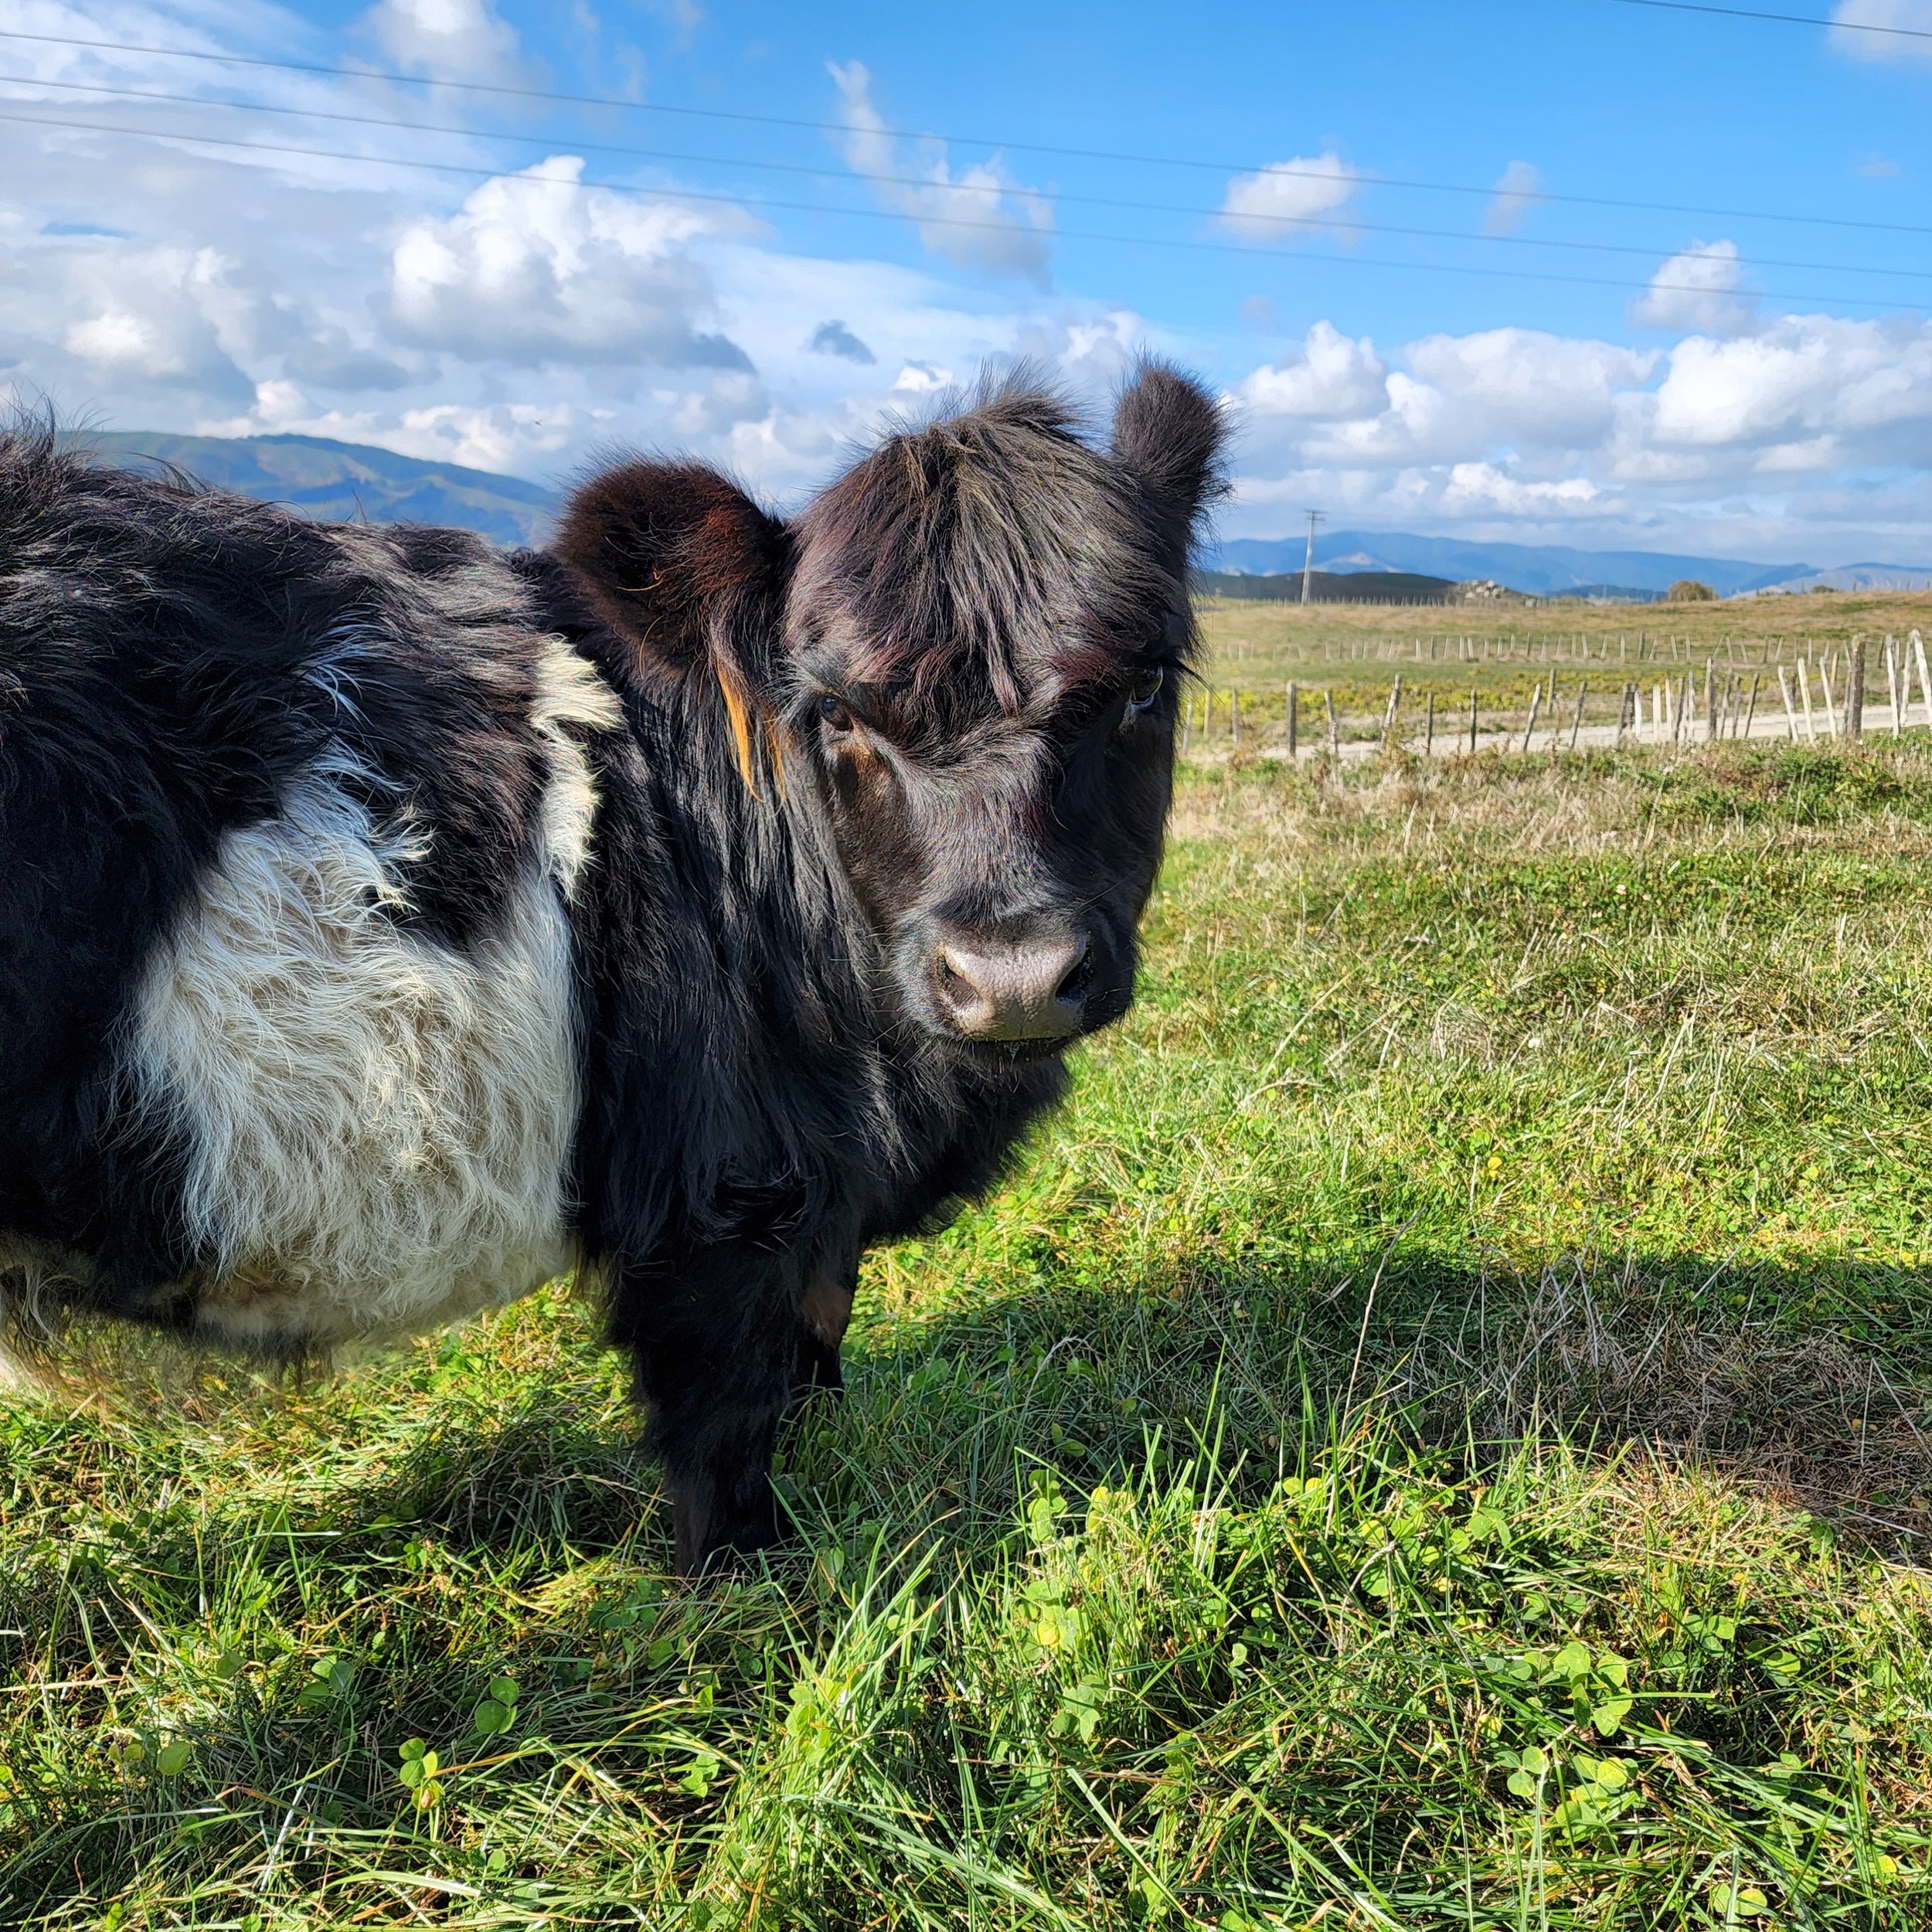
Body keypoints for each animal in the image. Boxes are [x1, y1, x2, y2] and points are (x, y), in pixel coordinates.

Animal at [0, 366, 1223, 1570]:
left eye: (1143, 686)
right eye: (835, 712)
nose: (1013, 976)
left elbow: (817, 1348)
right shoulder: (725, 1201)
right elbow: (727, 1431)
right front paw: (754, 1581)